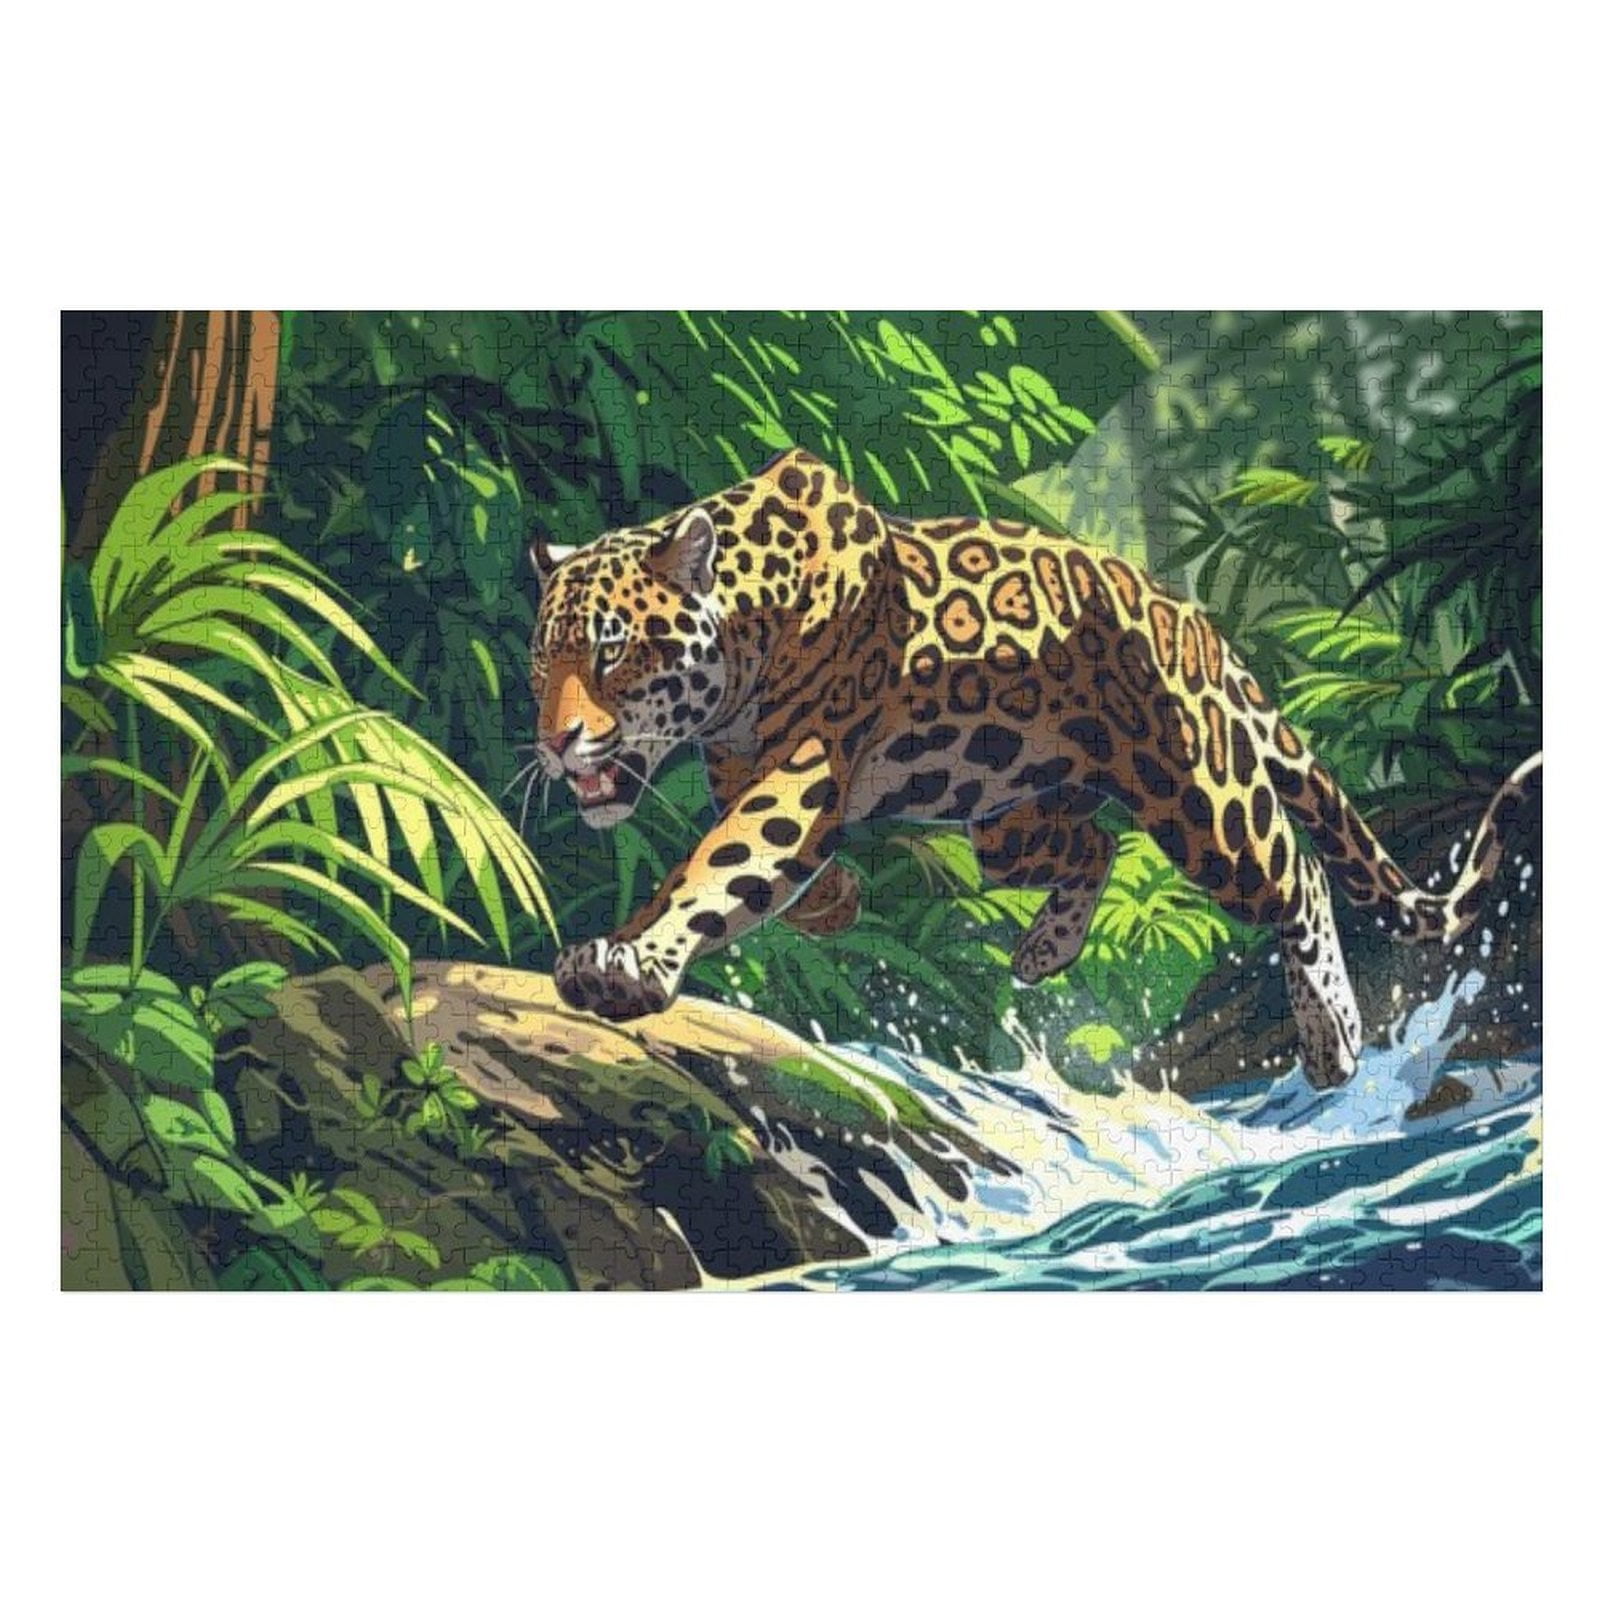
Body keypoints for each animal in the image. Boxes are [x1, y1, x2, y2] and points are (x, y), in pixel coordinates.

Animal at [529, 447, 1541, 1089]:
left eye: (612, 652)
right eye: (542, 662)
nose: (554, 741)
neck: (747, 615)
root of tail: (1197, 623)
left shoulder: (796, 772)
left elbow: (716, 865)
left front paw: (625, 962)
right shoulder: (755, 774)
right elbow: (751, 874)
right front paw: (836, 902)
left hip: (1203, 802)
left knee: (1298, 875)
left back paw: (1334, 1038)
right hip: (1003, 817)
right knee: (1094, 845)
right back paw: (1043, 950)